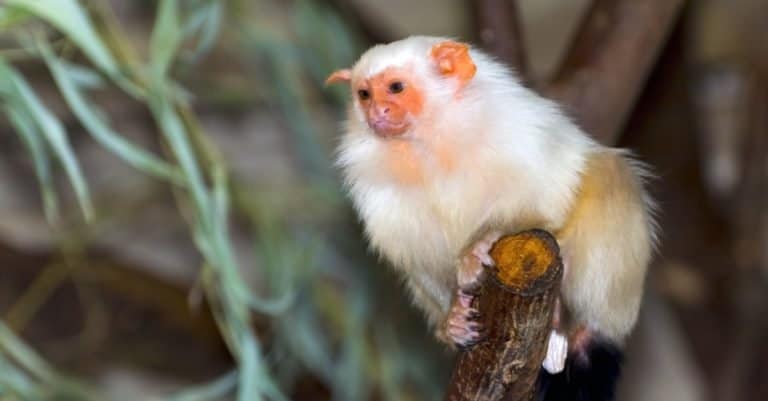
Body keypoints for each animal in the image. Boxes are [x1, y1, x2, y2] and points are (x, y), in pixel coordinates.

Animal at [326, 36, 657, 401]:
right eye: (364, 94)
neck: (426, 145)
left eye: (396, 88)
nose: (377, 112)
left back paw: (579, 321)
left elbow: (549, 197)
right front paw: (454, 316)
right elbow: (416, 258)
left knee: (612, 174)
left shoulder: (516, 134)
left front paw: (479, 246)